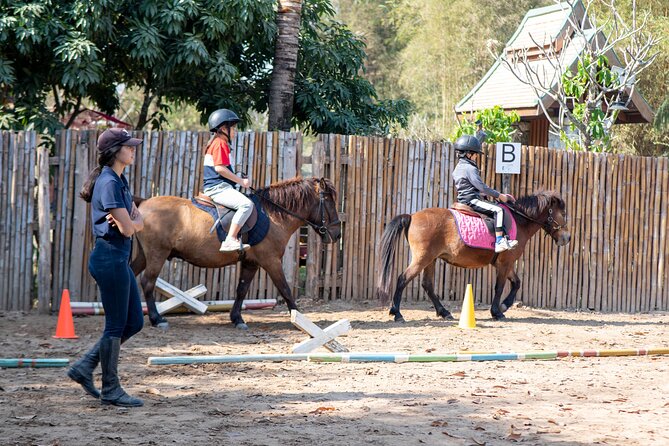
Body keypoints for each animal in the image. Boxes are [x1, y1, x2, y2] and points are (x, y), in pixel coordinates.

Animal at [130, 177, 341, 330]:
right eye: (330, 202)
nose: (337, 233)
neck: (273, 215)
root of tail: (144, 203)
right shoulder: (271, 261)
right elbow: (286, 289)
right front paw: (300, 319)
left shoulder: (251, 262)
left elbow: (241, 289)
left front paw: (237, 318)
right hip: (157, 255)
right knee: (147, 282)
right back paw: (157, 319)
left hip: (144, 256)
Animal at [376, 191, 570, 322]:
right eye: (563, 214)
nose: (567, 238)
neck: (519, 220)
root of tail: (412, 216)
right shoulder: (505, 262)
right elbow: (500, 287)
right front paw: (497, 311)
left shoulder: (505, 263)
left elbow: (516, 283)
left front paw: (504, 306)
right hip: (422, 259)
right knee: (403, 279)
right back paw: (397, 313)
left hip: (430, 260)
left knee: (427, 285)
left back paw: (444, 312)